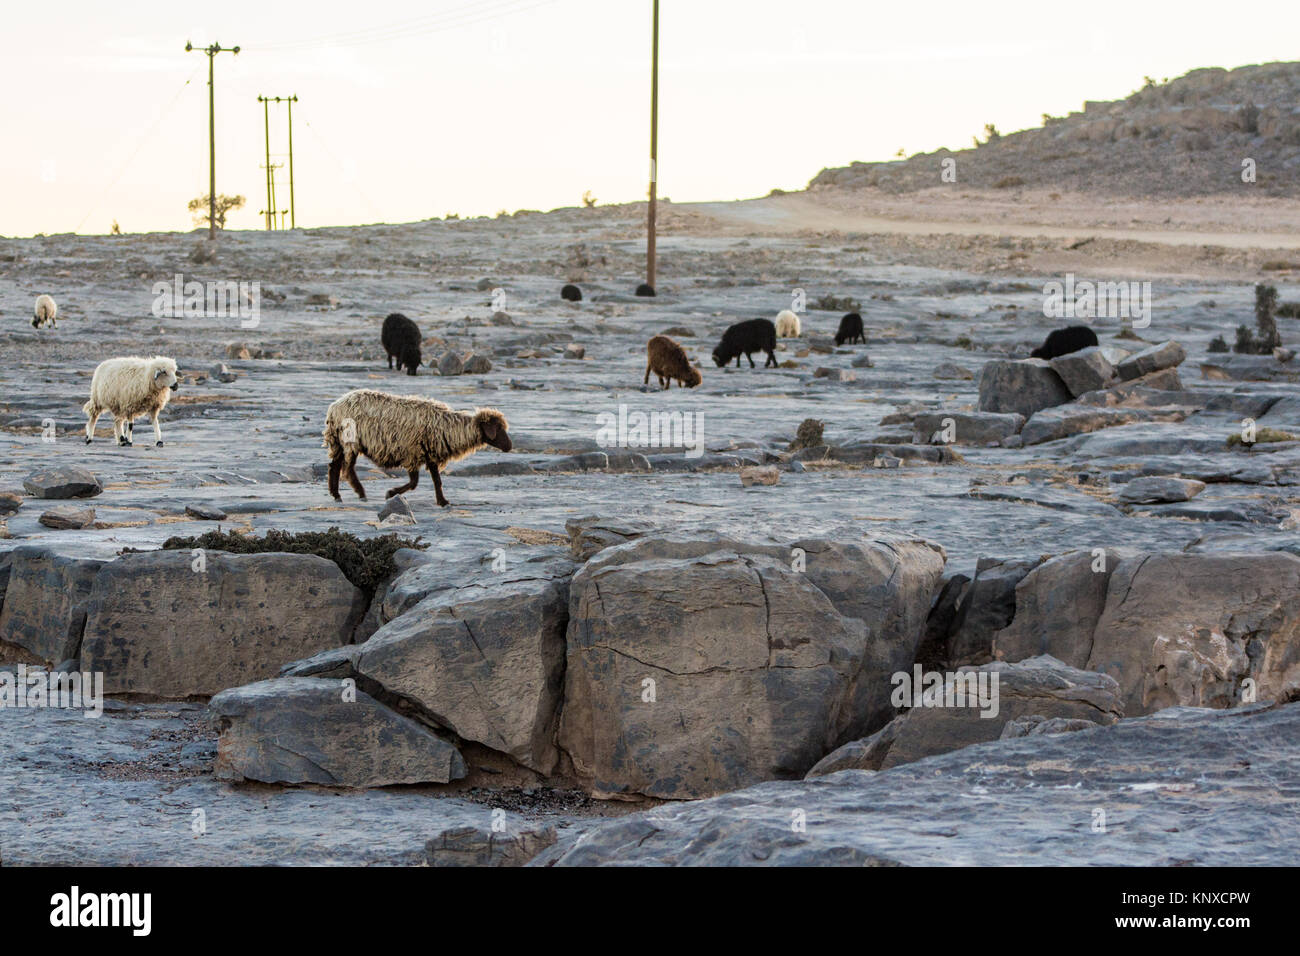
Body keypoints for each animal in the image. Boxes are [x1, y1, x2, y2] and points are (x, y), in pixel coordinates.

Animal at [322, 388, 511, 507]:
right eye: (498, 429)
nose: (509, 446)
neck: (449, 429)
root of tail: (334, 407)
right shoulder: (412, 454)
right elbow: (414, 483)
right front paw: (391, 493)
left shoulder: (430, 454)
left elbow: (437, 481)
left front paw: (443, 501)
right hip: (350, 441)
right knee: (347, 468)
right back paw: (360, 493)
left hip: (338, 442)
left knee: (334, 466)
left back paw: (336, 495)